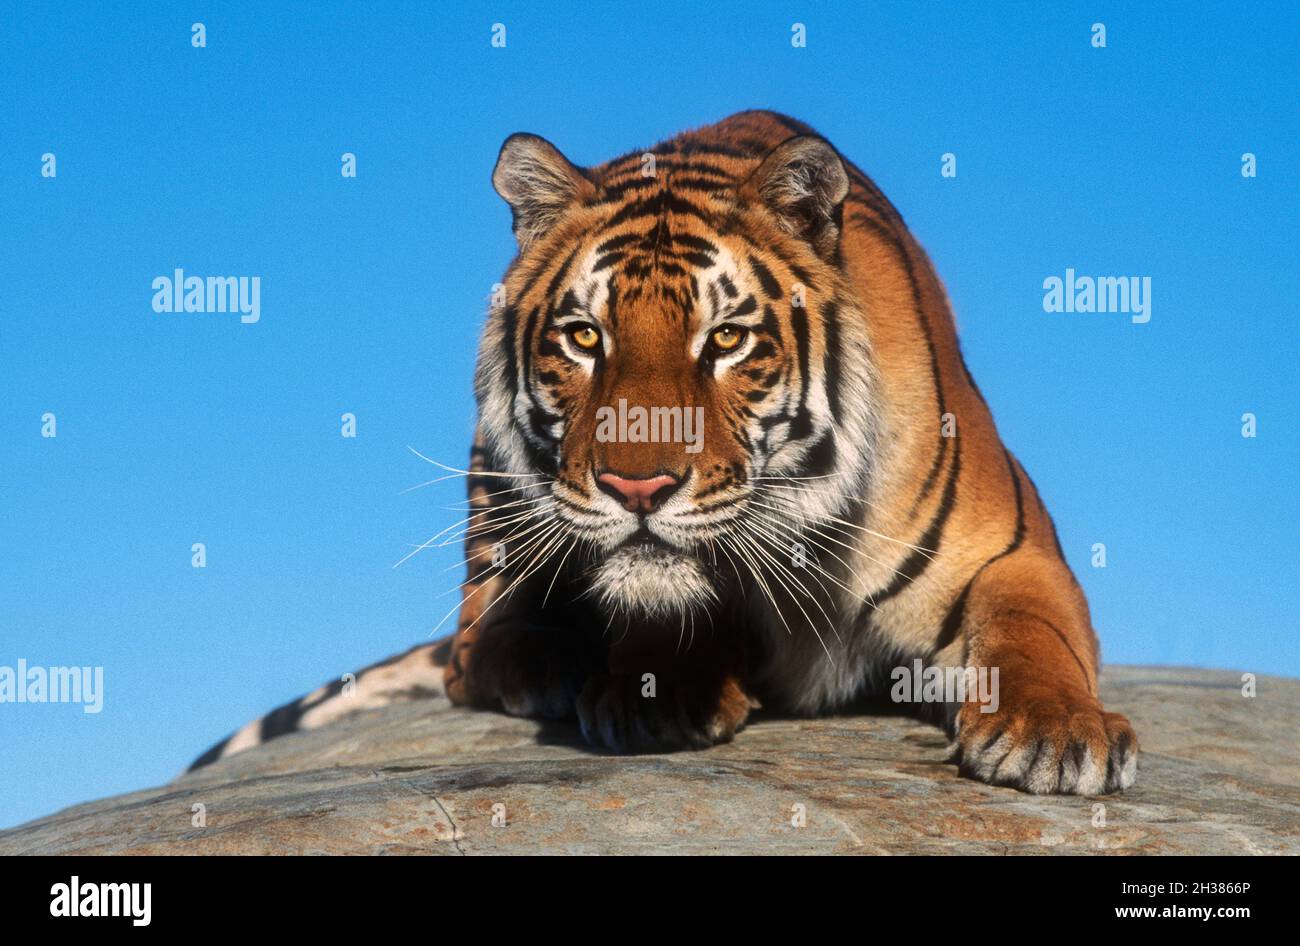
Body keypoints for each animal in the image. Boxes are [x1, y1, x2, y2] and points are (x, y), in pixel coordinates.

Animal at [191, 111, 1137, 795]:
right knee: (472, 646)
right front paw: (657, 691)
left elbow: (1032, 634)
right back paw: (549, 659)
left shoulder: (1012, 554)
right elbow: (662, 603)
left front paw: (1056, 736)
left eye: (725, 339)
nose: (635, 486)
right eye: (583, 336)